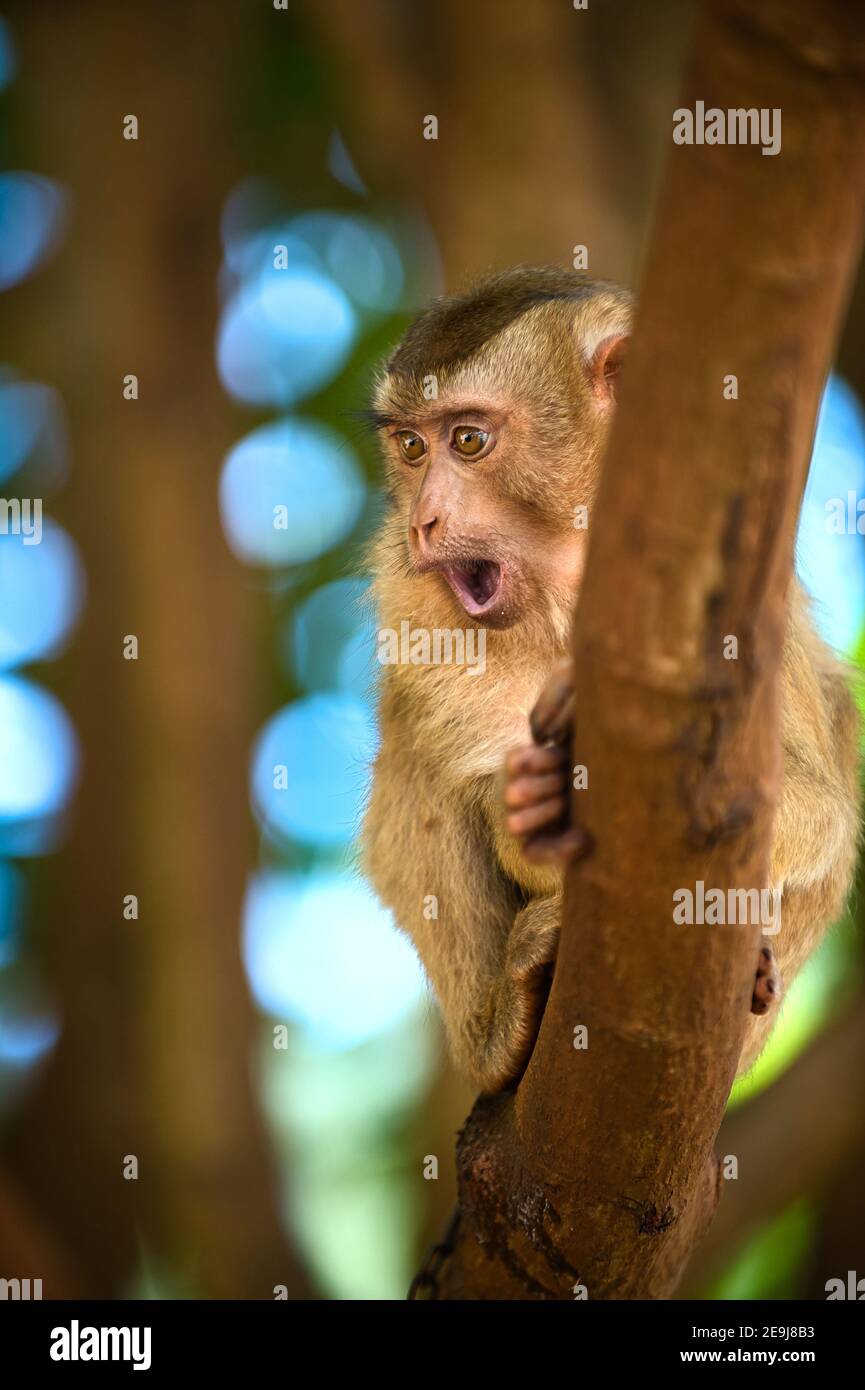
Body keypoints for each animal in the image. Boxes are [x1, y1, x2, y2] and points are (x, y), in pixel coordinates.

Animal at [361, 265, 861, 1095]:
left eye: (467, 441)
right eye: (409, 446)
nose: (422, 521)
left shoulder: (759, 609)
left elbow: (815, 812)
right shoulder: (410, 601)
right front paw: (533, 805)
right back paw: (495, 1029)